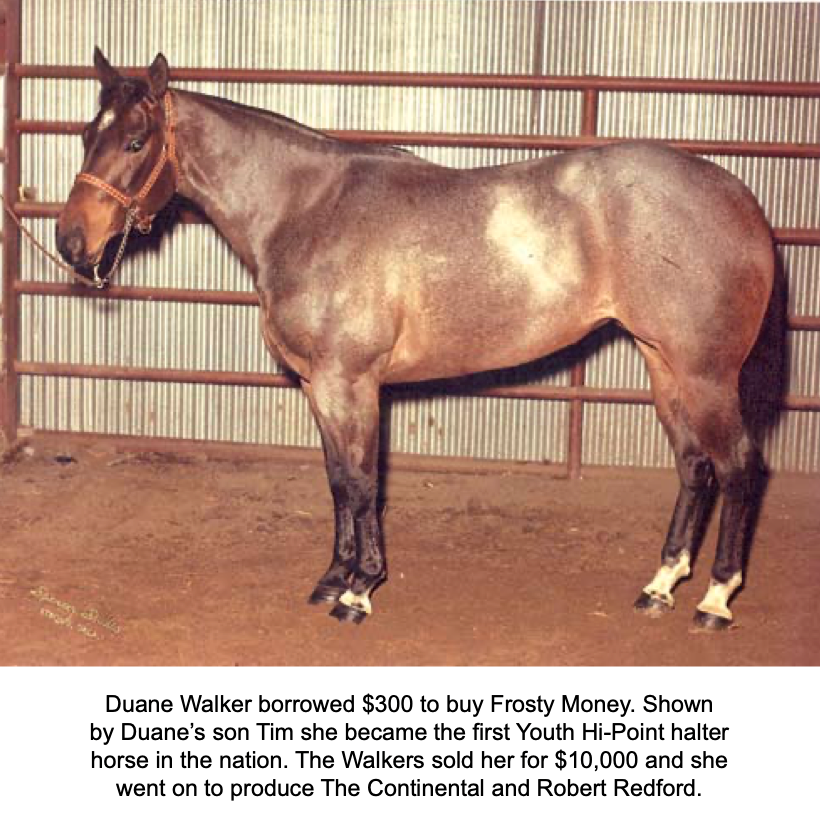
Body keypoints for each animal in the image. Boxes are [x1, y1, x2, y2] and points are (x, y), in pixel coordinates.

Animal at [56, 50, 776, 629]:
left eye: (137, 141)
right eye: (88, 133)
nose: (70, 242)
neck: (307, 211)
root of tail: (738, 198)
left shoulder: (351, 382)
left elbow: (362, 484)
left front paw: (359, 592)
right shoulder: (320, 385)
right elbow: (338, 480)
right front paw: (333, 578)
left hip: (707, 375)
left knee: (739, 466)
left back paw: (715, 600)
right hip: (665, 365)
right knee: (694, 465)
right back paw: (660, 586)